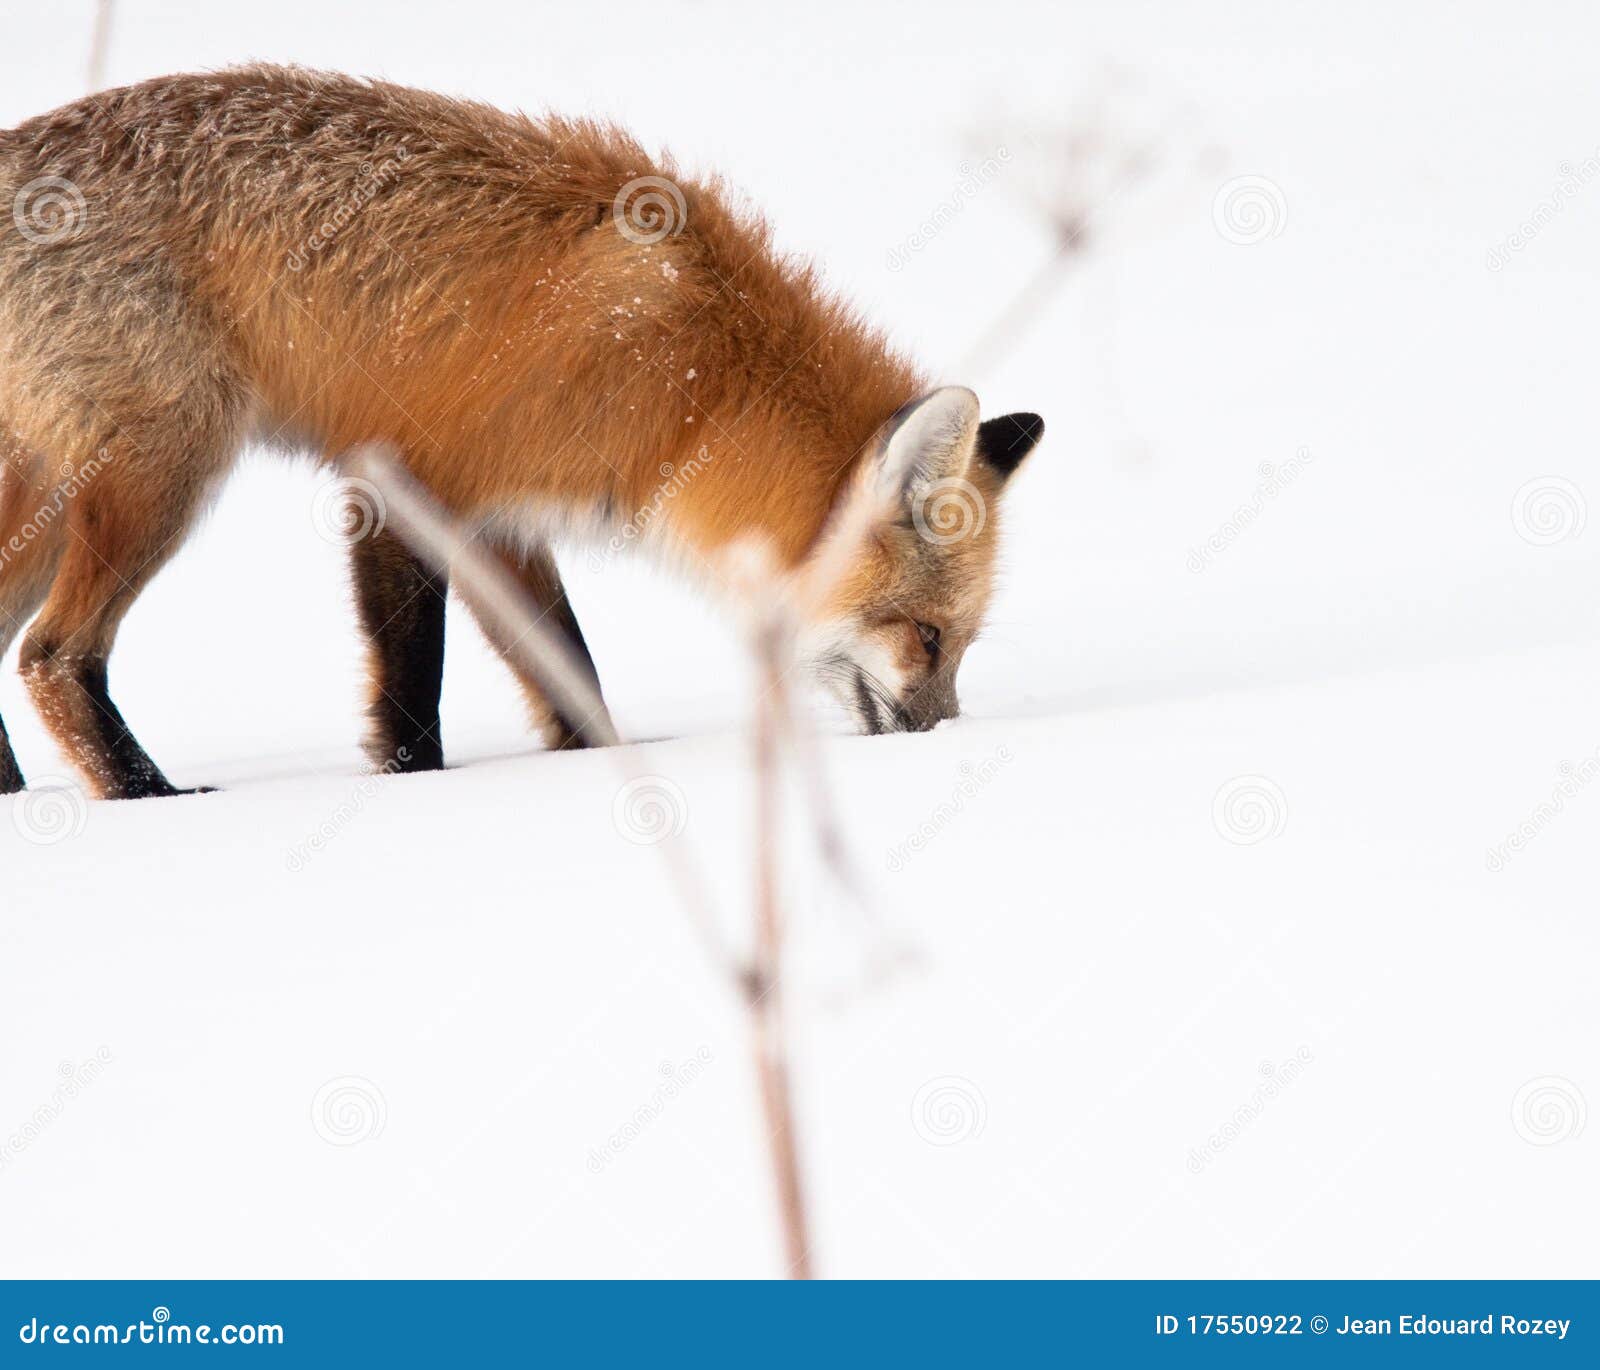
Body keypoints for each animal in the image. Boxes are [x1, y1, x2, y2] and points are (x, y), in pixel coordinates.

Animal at [0, 66, 1043, 801]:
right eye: (927, 636)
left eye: (961, 644)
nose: (940, 738)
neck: (704, 378)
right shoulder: (404, 478)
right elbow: (414, 689)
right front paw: (410, 792)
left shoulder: (501, 518)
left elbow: (570, 672)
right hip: (162, 471)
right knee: (52, 657)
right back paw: (148, 797)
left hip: (57, 506)